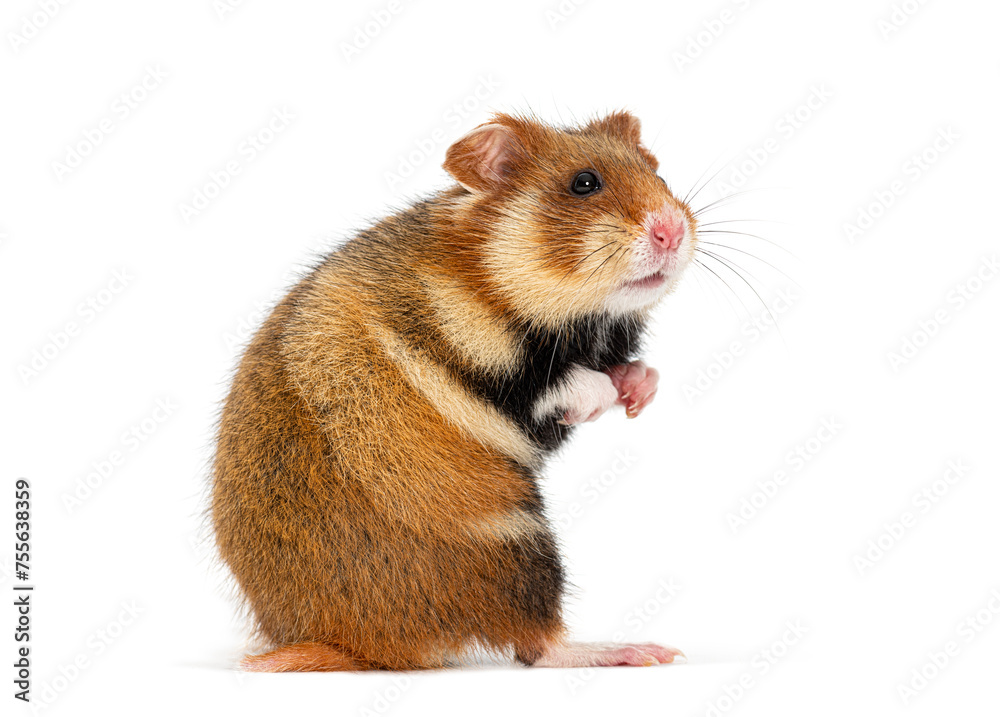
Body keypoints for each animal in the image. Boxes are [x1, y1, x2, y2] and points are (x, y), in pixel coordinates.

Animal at [211, 110, 697, 671]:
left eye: (658, 174)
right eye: (584, 183)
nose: (672, 230)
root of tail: (353, 645)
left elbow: (625, 373)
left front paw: (640, 391)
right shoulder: (498, 380)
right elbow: (565, 386)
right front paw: (604, 391)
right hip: (522, 547)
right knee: (537, 645)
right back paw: (638, 650)